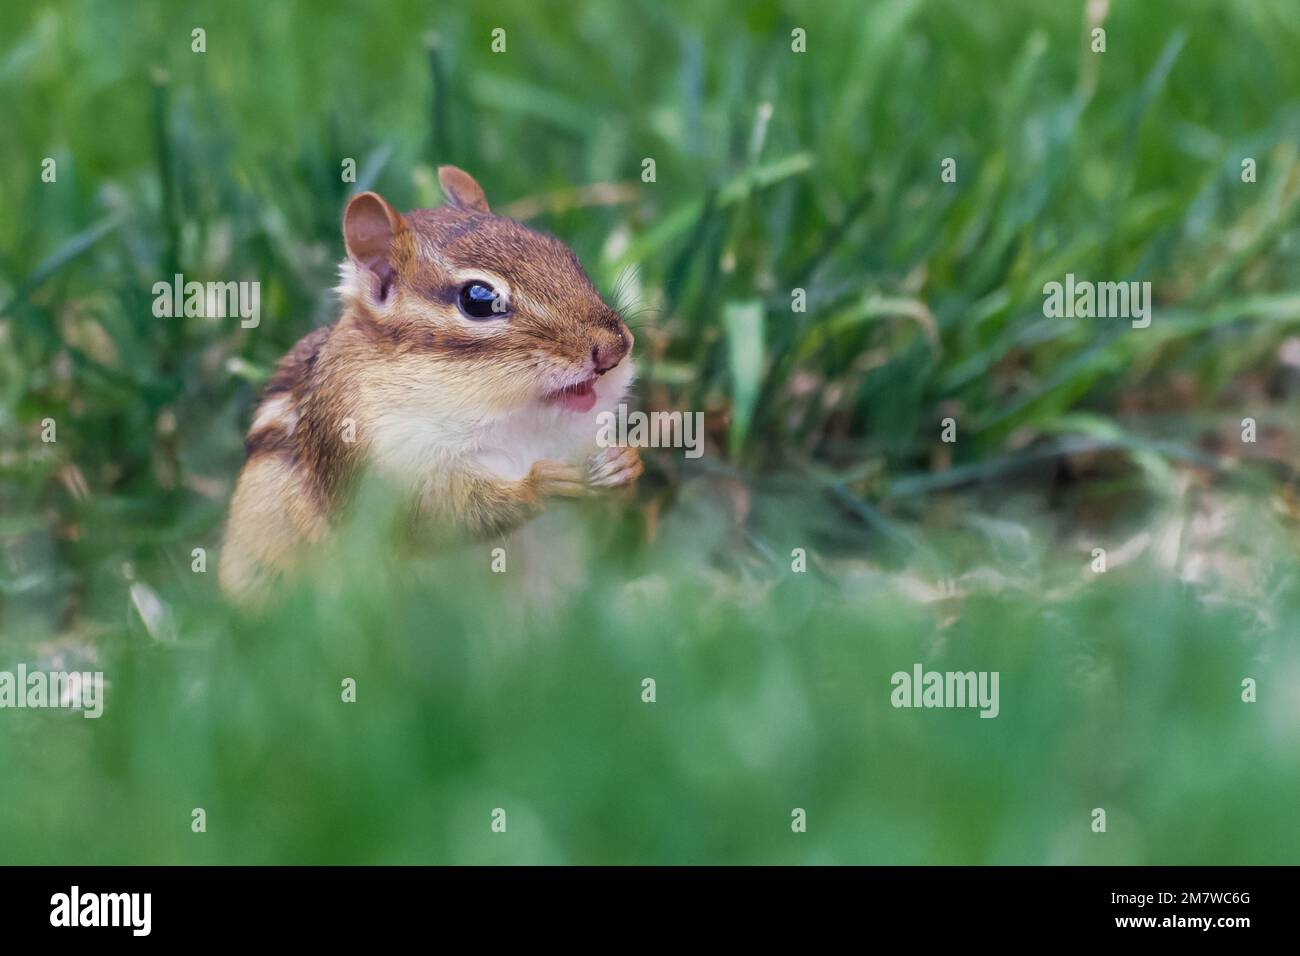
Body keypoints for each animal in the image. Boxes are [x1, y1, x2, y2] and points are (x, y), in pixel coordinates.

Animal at [218, 166, 641, 602]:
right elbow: (436, 517)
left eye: (565, 254)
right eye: (478, 299)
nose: (613, 349)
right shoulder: (374, 462)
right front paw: (537, 483)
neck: (516, 420)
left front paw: (625, 463)